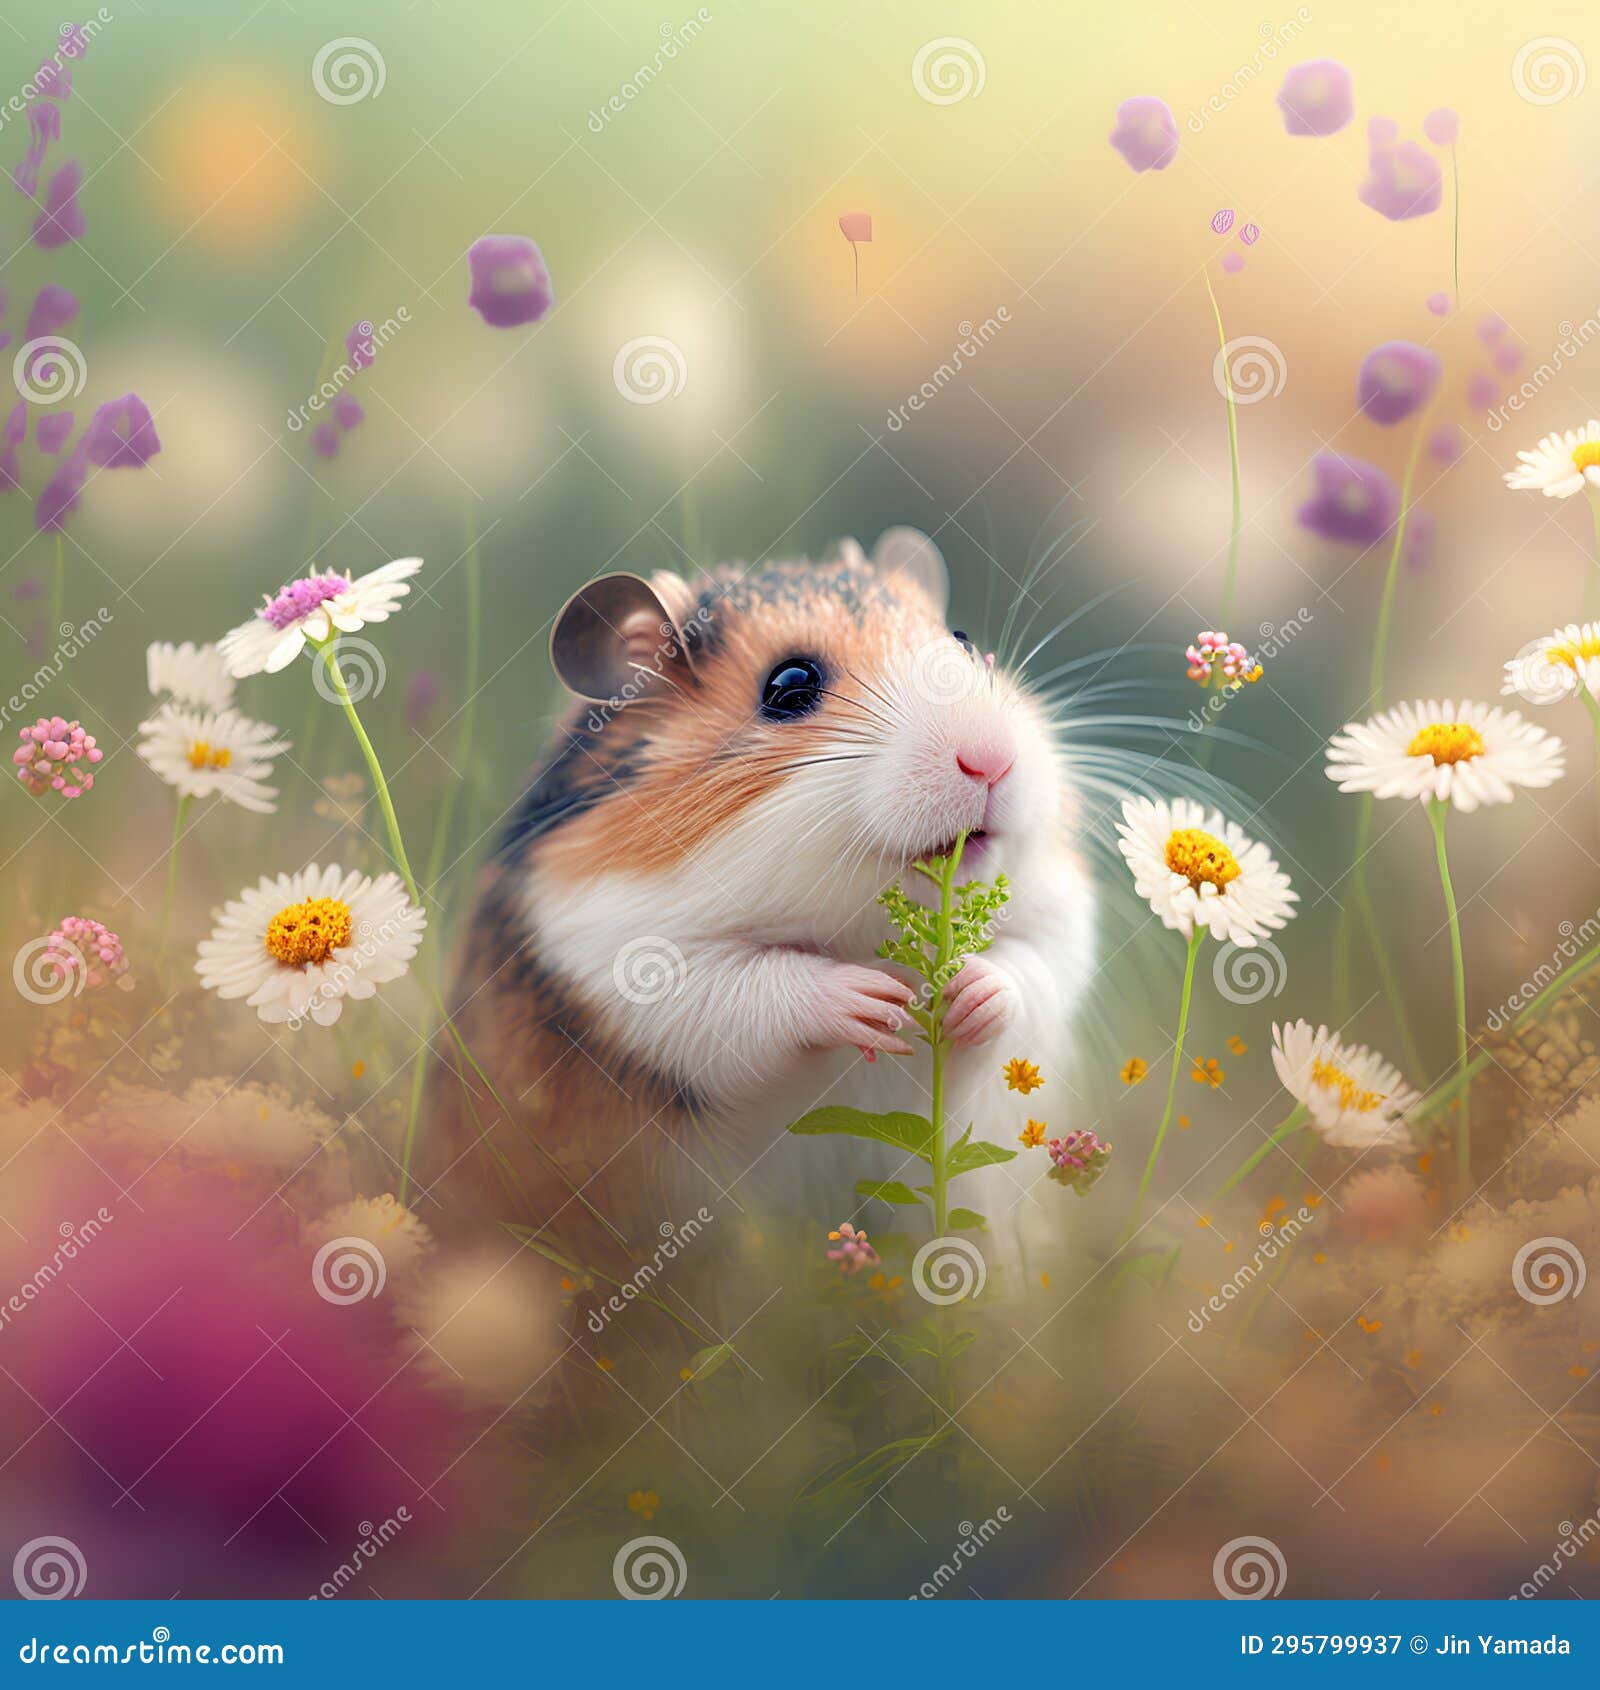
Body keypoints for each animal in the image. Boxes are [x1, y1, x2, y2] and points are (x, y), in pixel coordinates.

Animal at [426, 529, 1095, 1272]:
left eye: (964, 641)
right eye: (789, 685)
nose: (992, 762)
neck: (864, 928)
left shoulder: (1061, 924)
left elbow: (1029, 969)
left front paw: (960, 991)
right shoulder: (619, 956)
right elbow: (755, 985)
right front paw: (877, 1003)